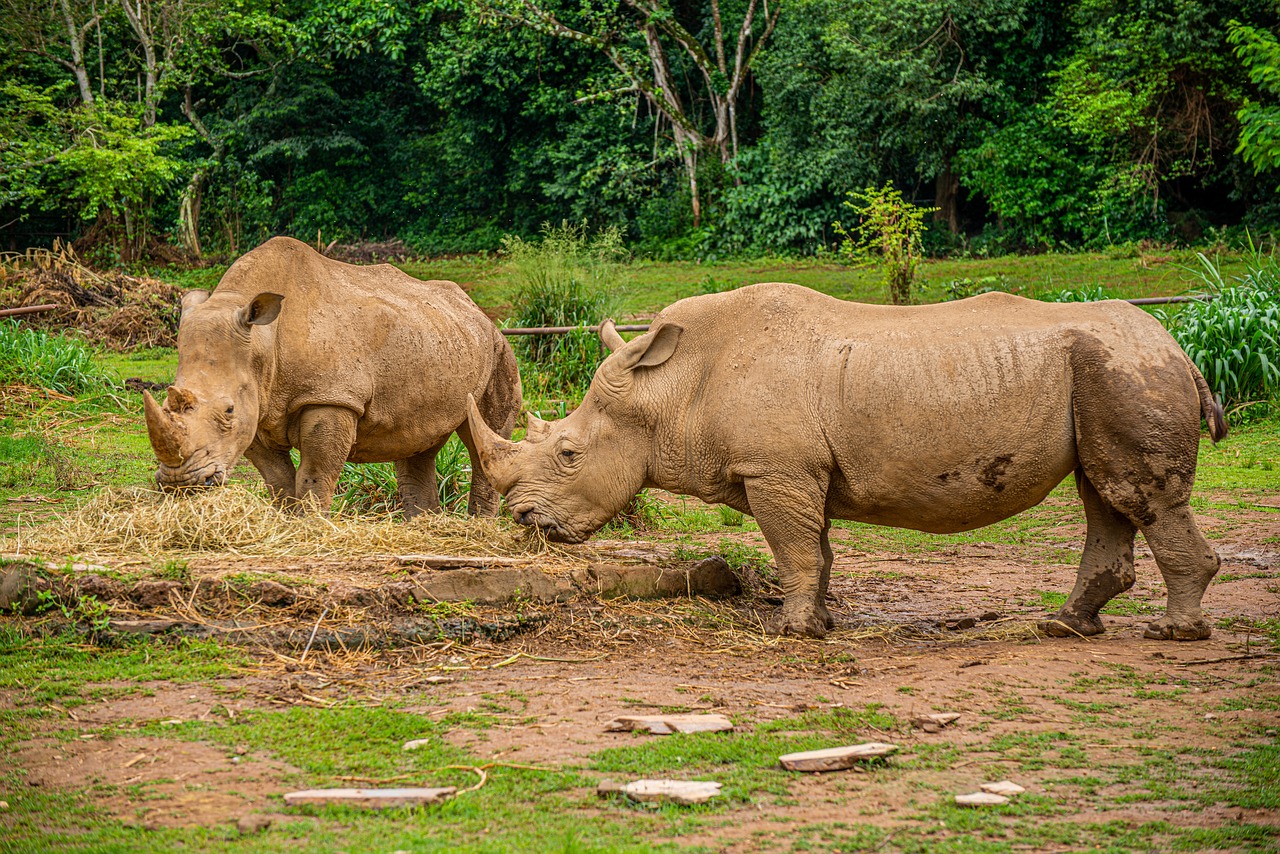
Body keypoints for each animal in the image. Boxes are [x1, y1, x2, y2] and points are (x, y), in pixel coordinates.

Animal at [144, 236, 521, 516]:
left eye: (228, 410)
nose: (180, 482)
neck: (264, 343)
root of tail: (475, 309)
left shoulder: (331, 397)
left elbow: (315, 473)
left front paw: (311, 524)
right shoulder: (258, 406)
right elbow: (278, 479)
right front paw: (288, 520)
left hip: (497, 345)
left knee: (486, 430)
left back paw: (478, 526)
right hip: (438, 337)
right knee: (418, 437)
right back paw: (423, 524)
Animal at [466, 283, 1228, 640]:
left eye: (568, 453)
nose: (525, 521)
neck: (670, 388)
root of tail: (1182, 348)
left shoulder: (776, 470)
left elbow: (794, 549)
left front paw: (794, 631)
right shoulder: (798, 472)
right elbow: (818, 549)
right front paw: (822, 623)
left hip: (1126, 371)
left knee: (1138, 496)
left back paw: (1174, 632)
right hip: (1110, 371)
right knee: (1105, 493)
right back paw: (1065, 626)